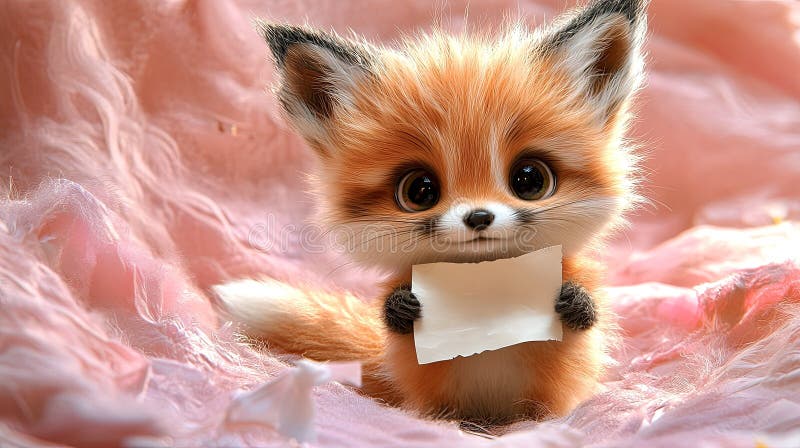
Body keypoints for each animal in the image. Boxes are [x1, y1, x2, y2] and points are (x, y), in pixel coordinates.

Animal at [215, 0, 647, 424]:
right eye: (419, 190)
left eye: (529, 180)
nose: (478, 217)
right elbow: (392, 317)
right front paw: (401, 309)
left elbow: (588, 311)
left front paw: (574, 302)